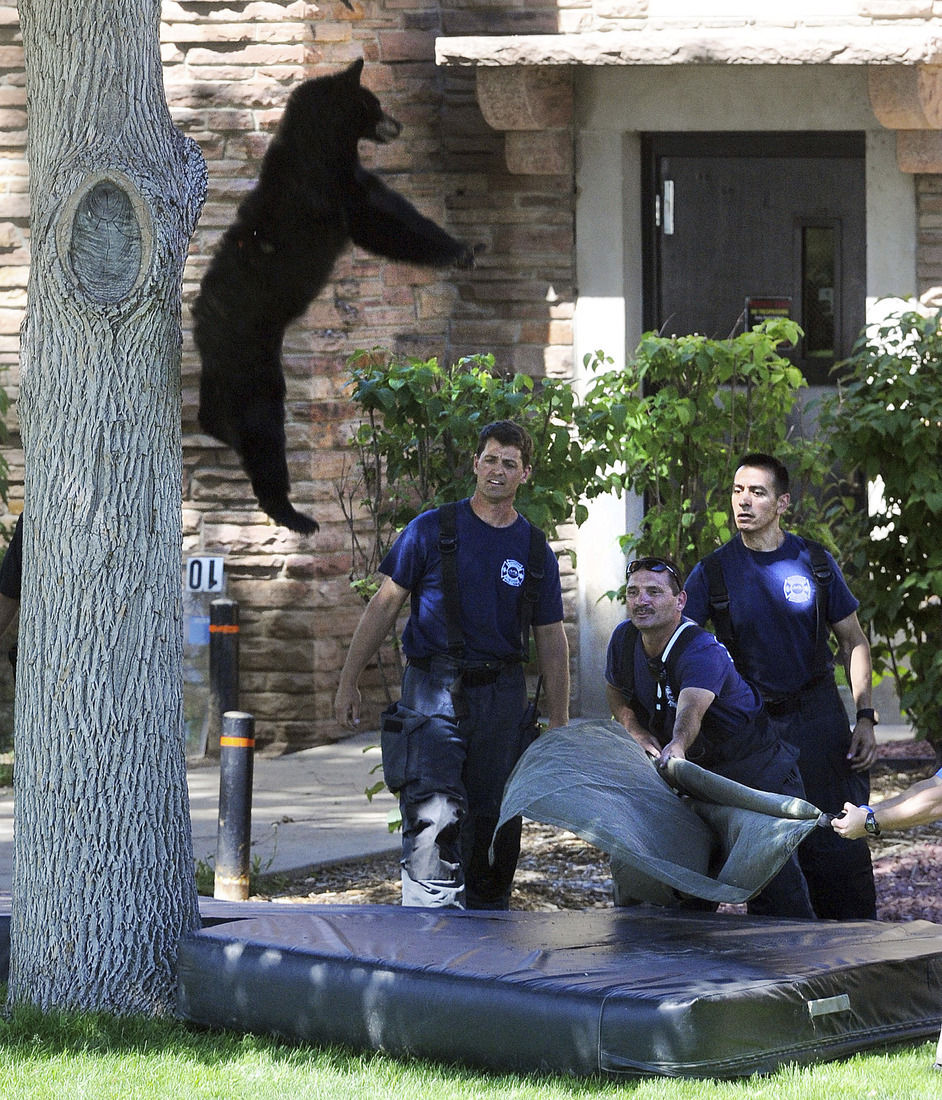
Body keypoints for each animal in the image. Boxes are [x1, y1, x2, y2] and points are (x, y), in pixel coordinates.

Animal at [192, 59, 477, 535]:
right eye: (374, 103)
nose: (398, 124)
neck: (320, 144)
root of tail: (201, 316)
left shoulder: (346, 177)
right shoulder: (331, 190)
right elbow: (385, 223)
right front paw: (460, 250)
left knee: (219, 406)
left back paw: (214, 427)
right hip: (252, 357)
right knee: (261, 424)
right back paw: (294, 514)